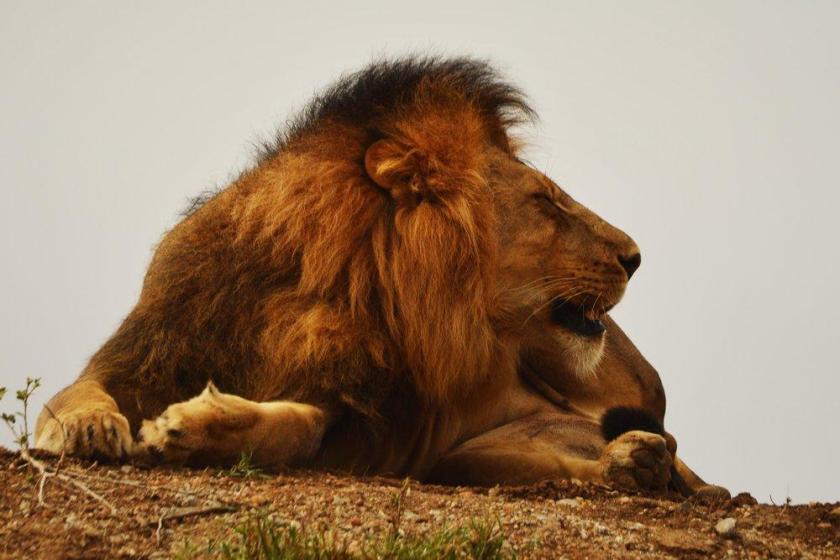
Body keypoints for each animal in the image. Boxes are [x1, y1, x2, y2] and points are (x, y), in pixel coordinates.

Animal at [35, 57, 725, 497]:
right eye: (545, 202)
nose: (635, 256)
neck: (309, 294)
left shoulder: (351, 426)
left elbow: (297, 425)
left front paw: (189, 428)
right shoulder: (140, 353)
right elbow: (76, 393)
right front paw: (86, 426)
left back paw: (637, 460)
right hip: (463, 459)